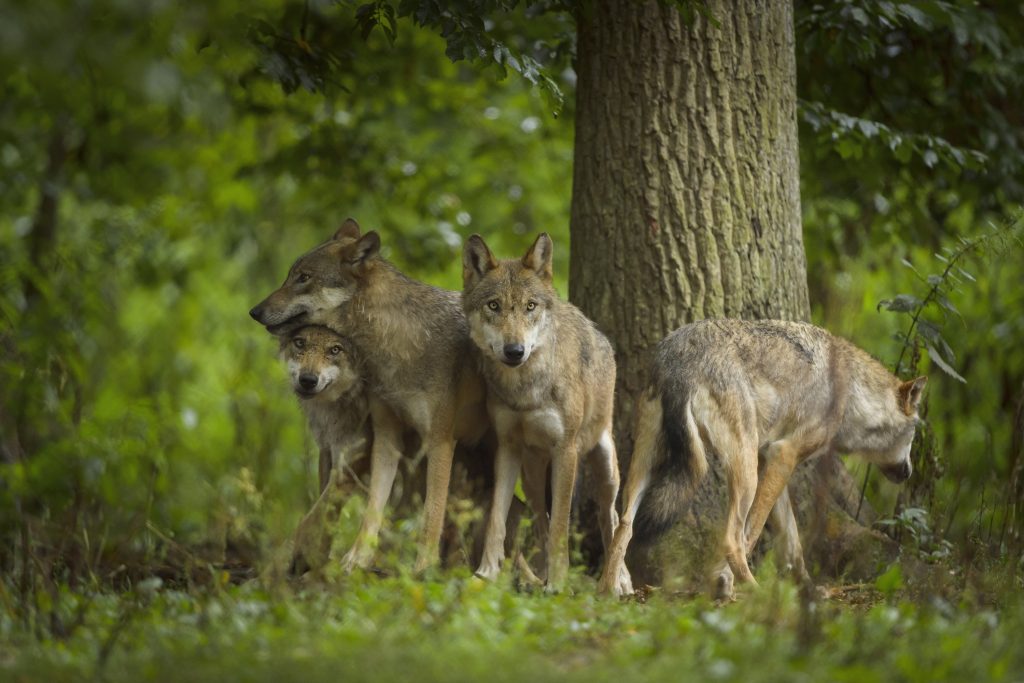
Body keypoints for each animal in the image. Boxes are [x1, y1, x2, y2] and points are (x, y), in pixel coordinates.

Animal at [250, 220, 491, 573]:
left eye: (304, 277)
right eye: (290, 274)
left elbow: (431, 514)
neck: (397, 346)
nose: (254, 311)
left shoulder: (440, 441)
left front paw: (422, 569)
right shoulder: (383, 437)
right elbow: (369, 508)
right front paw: (354, 559)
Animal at [462, 233, 629, 593]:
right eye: (493, 305)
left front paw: (559, 584)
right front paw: (486, 572)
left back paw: (618, 582)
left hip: (605, 468)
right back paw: (539, 576)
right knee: (541, 517)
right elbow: (497, 516)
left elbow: (562, 525)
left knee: (610, 518)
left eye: (530, 306)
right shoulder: (508, 447)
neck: (524, 390)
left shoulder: (566, 450)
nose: (514, 350)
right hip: (533, 475)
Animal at [597, 319, 926, 600]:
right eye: (915, 433)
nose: (909, 473)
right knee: (733, 538)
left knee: (623, 526)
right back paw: (752, 590)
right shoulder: (785, 454)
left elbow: (792, 543)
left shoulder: (771, 459)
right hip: (746, 476)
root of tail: (680, 357)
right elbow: (753, 534)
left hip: (645, 467)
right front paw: (723, 583)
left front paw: (808, 589)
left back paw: (609, 589)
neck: (853, 392)